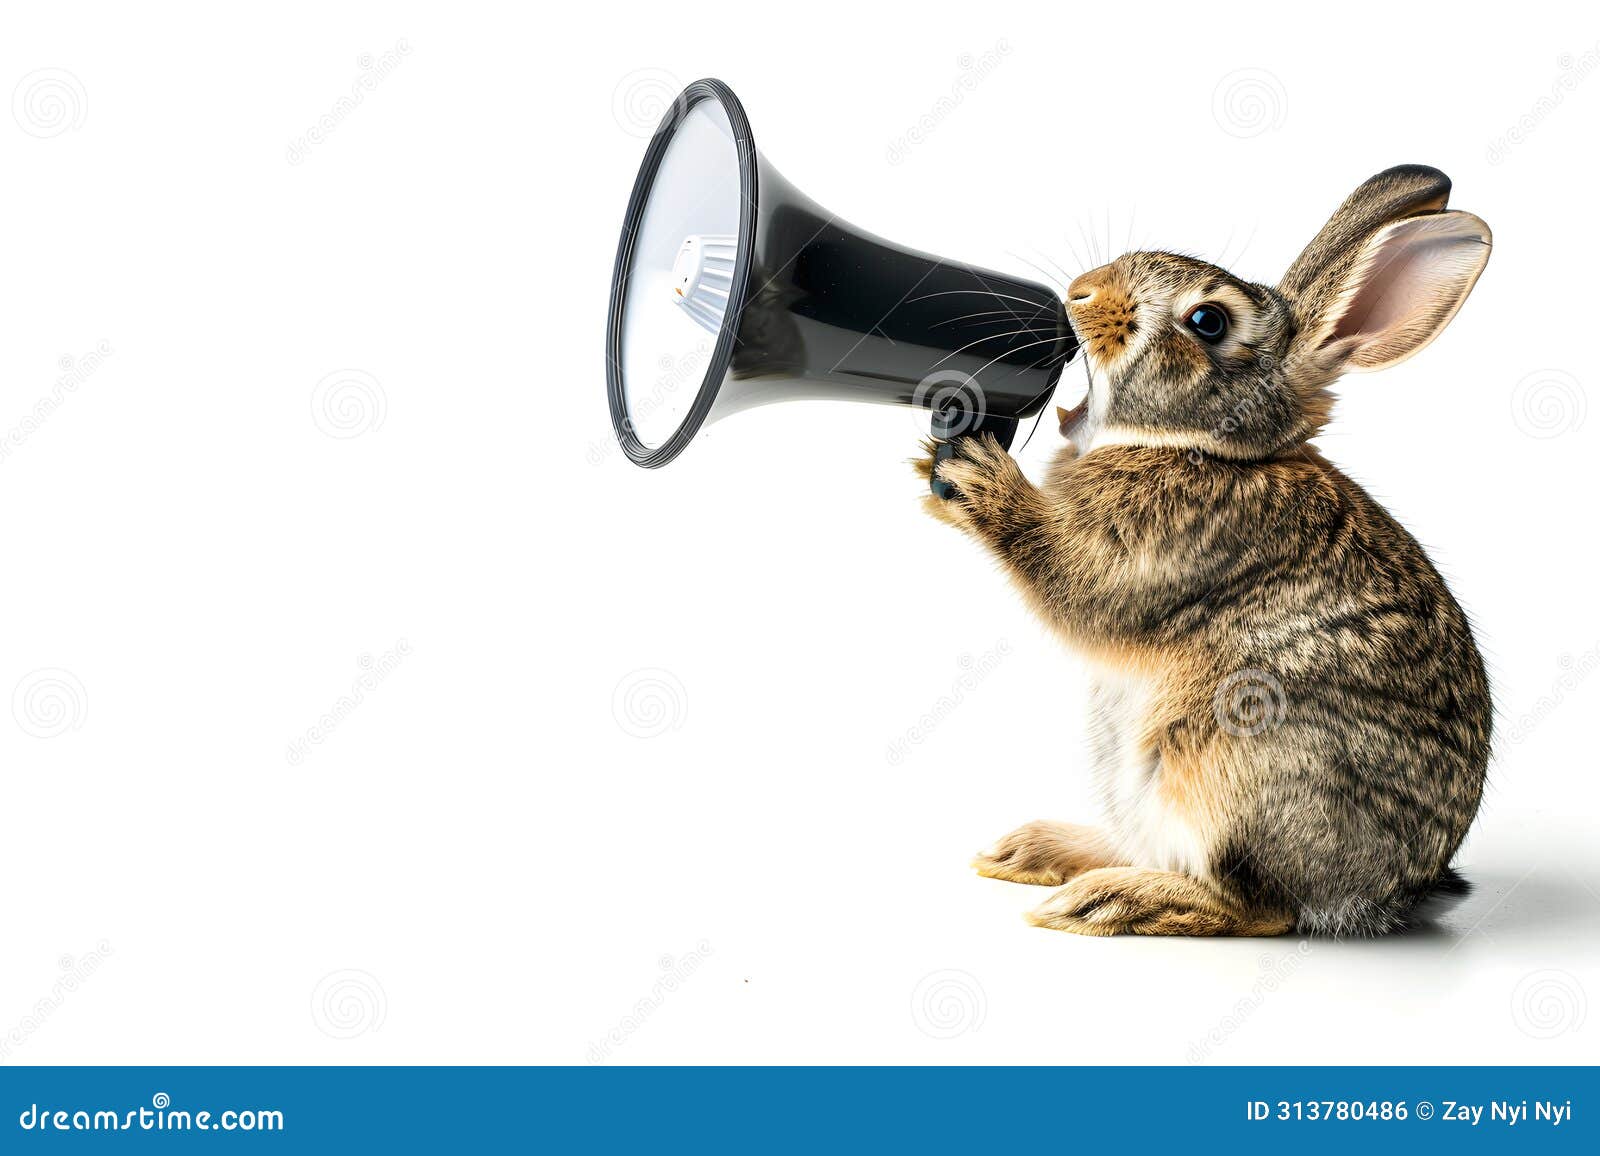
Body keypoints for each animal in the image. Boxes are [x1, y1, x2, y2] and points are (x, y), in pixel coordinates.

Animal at [919, 165, 1492, 937]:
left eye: (1208, 322)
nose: (1084, 291)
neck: (1214, 449)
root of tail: (1395, 890)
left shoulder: (1150, 551)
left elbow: (1069, 579)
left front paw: (978, 481)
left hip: (1231, 763)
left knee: (1258, 906)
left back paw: (1106, 899)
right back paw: (1038, 850)